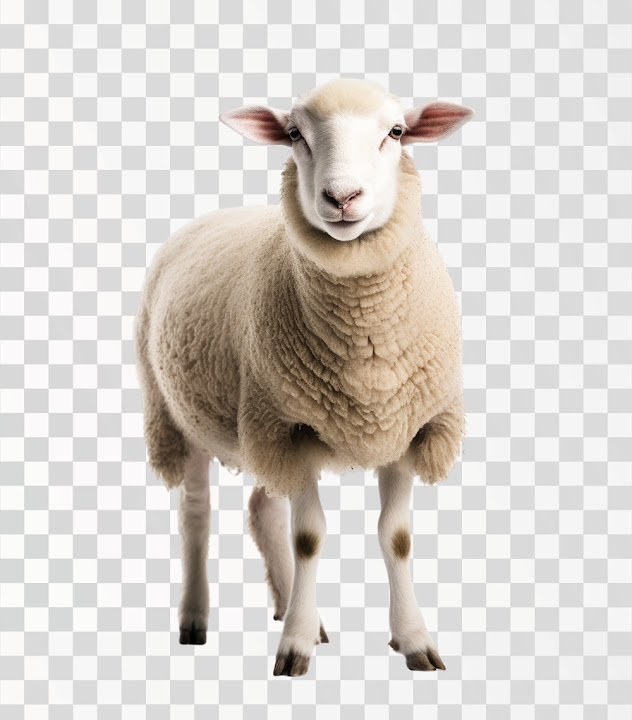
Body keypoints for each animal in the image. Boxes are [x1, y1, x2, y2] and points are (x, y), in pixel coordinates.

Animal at [134, 78, 473, 676]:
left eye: (396, 131)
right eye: (294, 134)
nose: (342, 198)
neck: (367, 352)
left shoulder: (405, 427)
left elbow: (397, 538)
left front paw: (412, 640)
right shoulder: (287, 432)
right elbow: (311, 538)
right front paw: (292, 649)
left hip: (258, 426)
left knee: (263, 508)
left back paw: (301, 613)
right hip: (180, 416)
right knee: (196, 516)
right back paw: (196, 619)